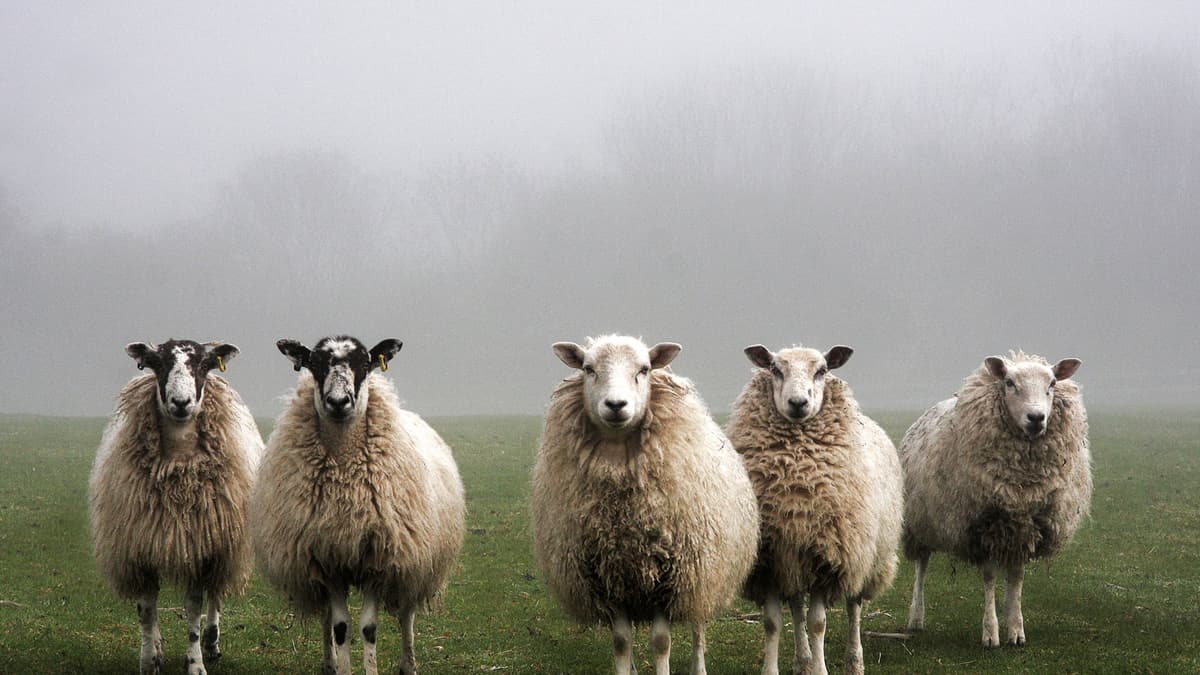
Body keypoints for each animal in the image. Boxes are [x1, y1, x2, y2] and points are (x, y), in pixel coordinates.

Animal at [89, 339, 262, 675]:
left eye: (203, 364)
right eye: (158, 363)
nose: (181, 402)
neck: (178, 463)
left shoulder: (201, 546)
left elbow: (194, 608)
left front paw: (195, 663)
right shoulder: (140, 545)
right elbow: (146, 609)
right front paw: (149, 660)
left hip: (224, 544)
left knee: (215, 595)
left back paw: (212, 642)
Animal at [252, 335, 466, 675]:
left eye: (365, 364)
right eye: (315, 364)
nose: (339, 402)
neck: (344, 470)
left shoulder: (379, 560)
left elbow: (368, 628)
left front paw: (371, 668)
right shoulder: (327, 561)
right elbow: (341, 627)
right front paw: (341, 667)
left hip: (414, 561)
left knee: (407, 613)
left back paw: (408, 664)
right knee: (327, 617)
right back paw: (329, 664)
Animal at [531, 335, 759, 675]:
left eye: (645, 369)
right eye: (588, 369)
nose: (616, 405)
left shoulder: (671, 578)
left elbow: (661, 642)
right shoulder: (607, 576)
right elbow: (621, 641)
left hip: (704, 572)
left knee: (698, 624)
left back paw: (698, 665)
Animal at [725, 344, 903, 675]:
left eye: (822, 370)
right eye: (774, 368)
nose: (798, 403)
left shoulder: (828, 557)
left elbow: (818, 623)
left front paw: (822, 669)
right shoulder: (771, 560)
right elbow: (772, 623)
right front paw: (775, 669)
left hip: (864, 556)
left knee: (854, 607)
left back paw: (854, 661)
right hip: (794, 562)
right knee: (797, 608)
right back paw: (803, 661)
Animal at [900, 350, 1090, 647]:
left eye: (1052, 384)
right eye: (1009, 383)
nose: (1036, 418)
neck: (1022, 480)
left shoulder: (1025, 528)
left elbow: (1016, 578)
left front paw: (1016, 628)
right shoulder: (984, 525)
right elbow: (989, 577)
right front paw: (991, 633)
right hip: (919, 521)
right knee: (922, 565)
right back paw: (916, 618)